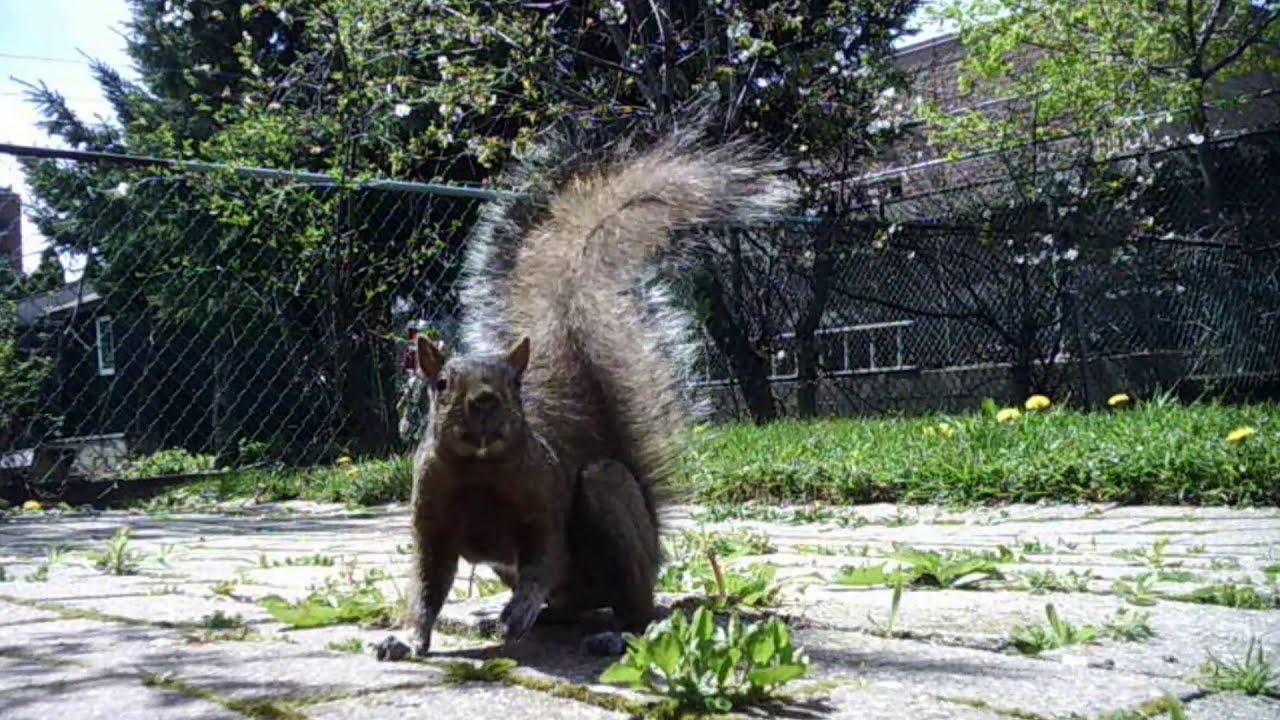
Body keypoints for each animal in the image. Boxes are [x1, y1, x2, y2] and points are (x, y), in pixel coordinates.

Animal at [403, 119, 796, 657]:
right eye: (441, 383)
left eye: (514, 385)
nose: (484, 402)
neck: (479, 472)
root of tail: (655, 546)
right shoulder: (432, 523)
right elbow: (427, 585)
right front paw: (406, 640)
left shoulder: (543, 510)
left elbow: (542, 561)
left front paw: (520, 608)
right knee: (571, 606)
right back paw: (521, 616)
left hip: (607, 496)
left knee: (635, 608)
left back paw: (611, 632)